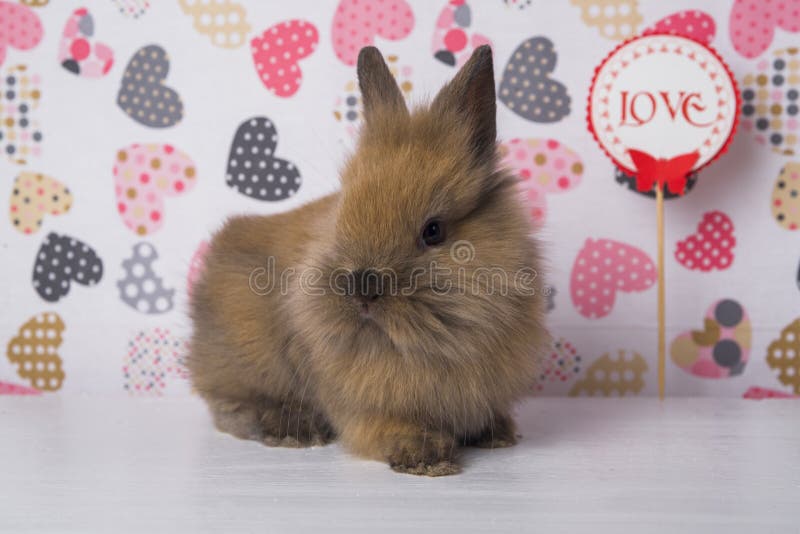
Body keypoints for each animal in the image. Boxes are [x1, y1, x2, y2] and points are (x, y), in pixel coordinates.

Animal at [187, 45, 549, 476]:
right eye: (343, 210)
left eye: (433, 231)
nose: (363, 287)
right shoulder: (363, 411)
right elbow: (382, 428)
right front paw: (426, 456)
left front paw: (498, 434)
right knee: (227, 404)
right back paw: (290, 429)